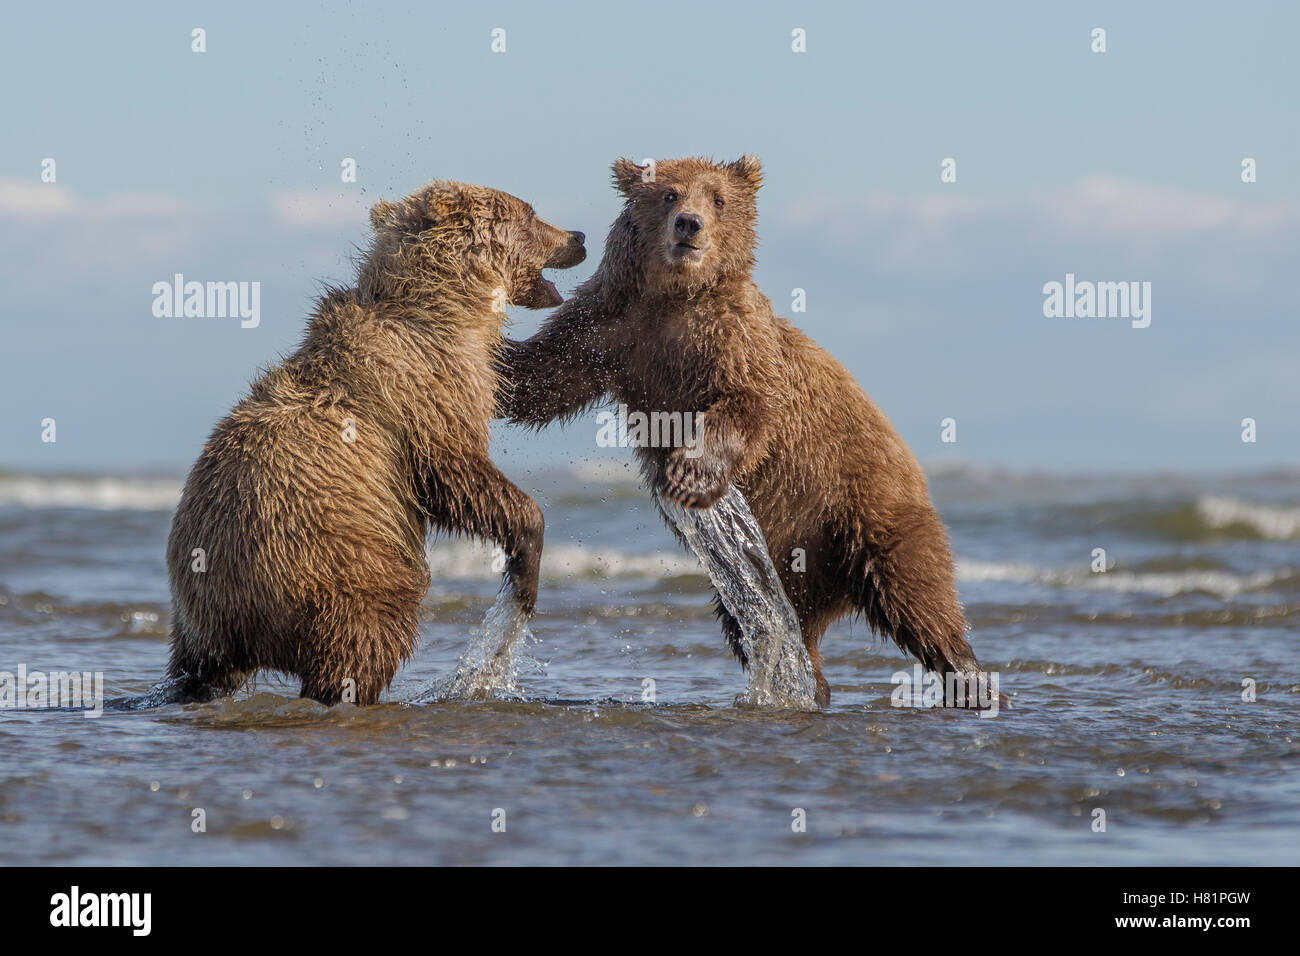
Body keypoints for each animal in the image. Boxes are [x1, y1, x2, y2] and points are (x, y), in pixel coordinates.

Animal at [164, 180, 586, 705]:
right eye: (528, 214)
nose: (579, 237)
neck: (445, 308)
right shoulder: (422, 392)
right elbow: (456, 473)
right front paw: (523, 569)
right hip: (337, 567)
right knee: (367, 639)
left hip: (199, 622)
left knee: (195, 670)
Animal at [499, 155, 986, 707]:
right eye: (668, 194)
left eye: (718, 198)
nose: (689, 225)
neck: (673, 296)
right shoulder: (607, 330)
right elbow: (540, 378)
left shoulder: (734, 338)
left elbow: (748, 404)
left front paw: (689, 474)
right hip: (785, 561)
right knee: (768, 625)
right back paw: (808, 685)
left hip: (861, 505)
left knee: (918, 594)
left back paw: (968, 676)